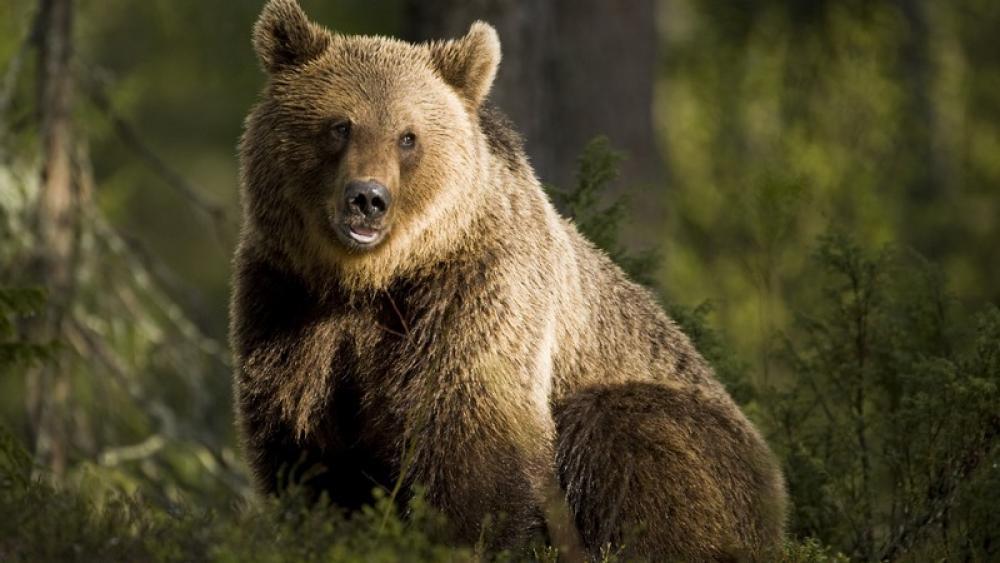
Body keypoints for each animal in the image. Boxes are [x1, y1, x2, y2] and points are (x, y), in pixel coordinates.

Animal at [230, 0, 787, 560]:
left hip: (706, 444)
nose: (367, 198)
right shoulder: (287, 302)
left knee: (625, 433)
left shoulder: (475, 293)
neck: (371, 280)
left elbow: (474, 439)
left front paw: (464, 537)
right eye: (340, 126)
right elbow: (304, 447)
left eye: (408, 136)